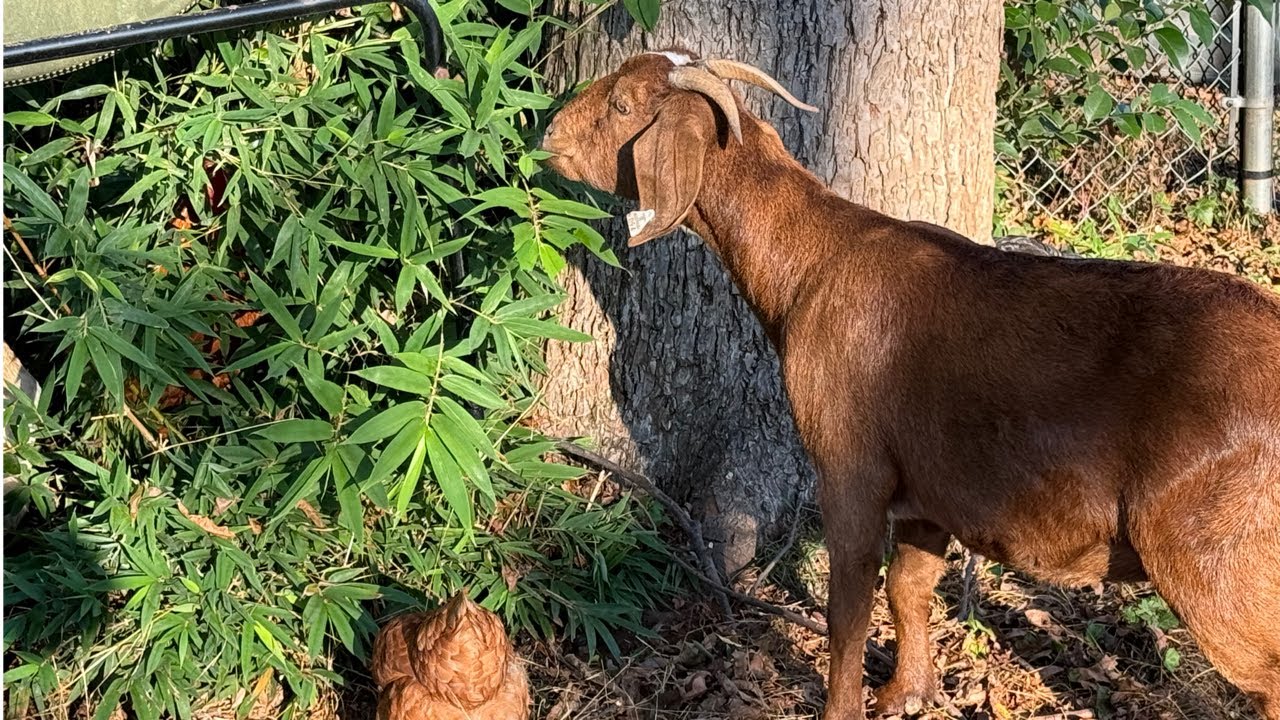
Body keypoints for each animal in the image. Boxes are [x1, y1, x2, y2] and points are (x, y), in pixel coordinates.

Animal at [541, 50, 1280, 719]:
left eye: (621, 106)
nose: (548, 137)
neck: (812, 263)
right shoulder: (931, 488)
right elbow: (909, 586)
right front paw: (908, 695)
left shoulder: (851, 469)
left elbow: (848, 607)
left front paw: (843, 709)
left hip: (1215, 556)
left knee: (1265, 674)